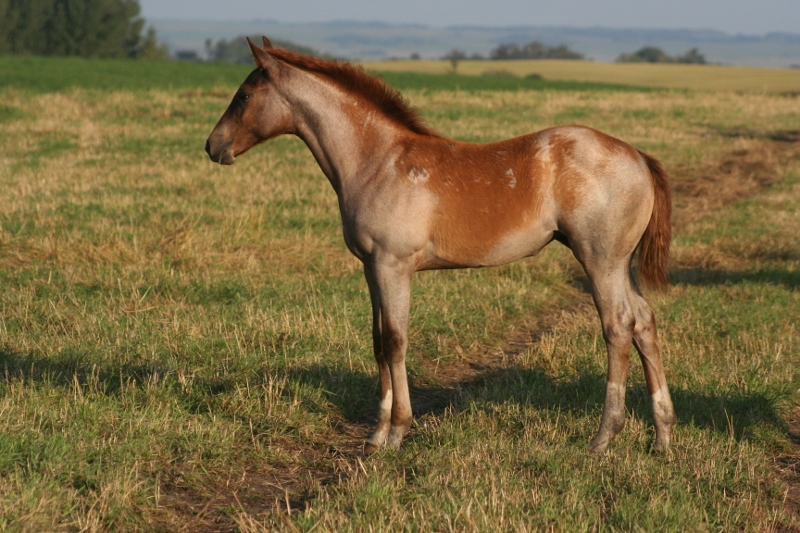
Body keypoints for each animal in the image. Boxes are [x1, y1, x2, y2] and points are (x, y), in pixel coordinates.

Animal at [206, 36, 676, 455]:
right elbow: (378, 341)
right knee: (643, 322)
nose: (213, 146)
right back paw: (662, 435)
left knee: (618, 326)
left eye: (244, 95)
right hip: (621, 264)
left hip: (599, 260)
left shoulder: (392, 266)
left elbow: (396, 340)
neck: (377, 161)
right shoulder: (371, 268)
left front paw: (397, 431)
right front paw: (376, 434)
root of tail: (638, 156)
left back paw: (603, 437)